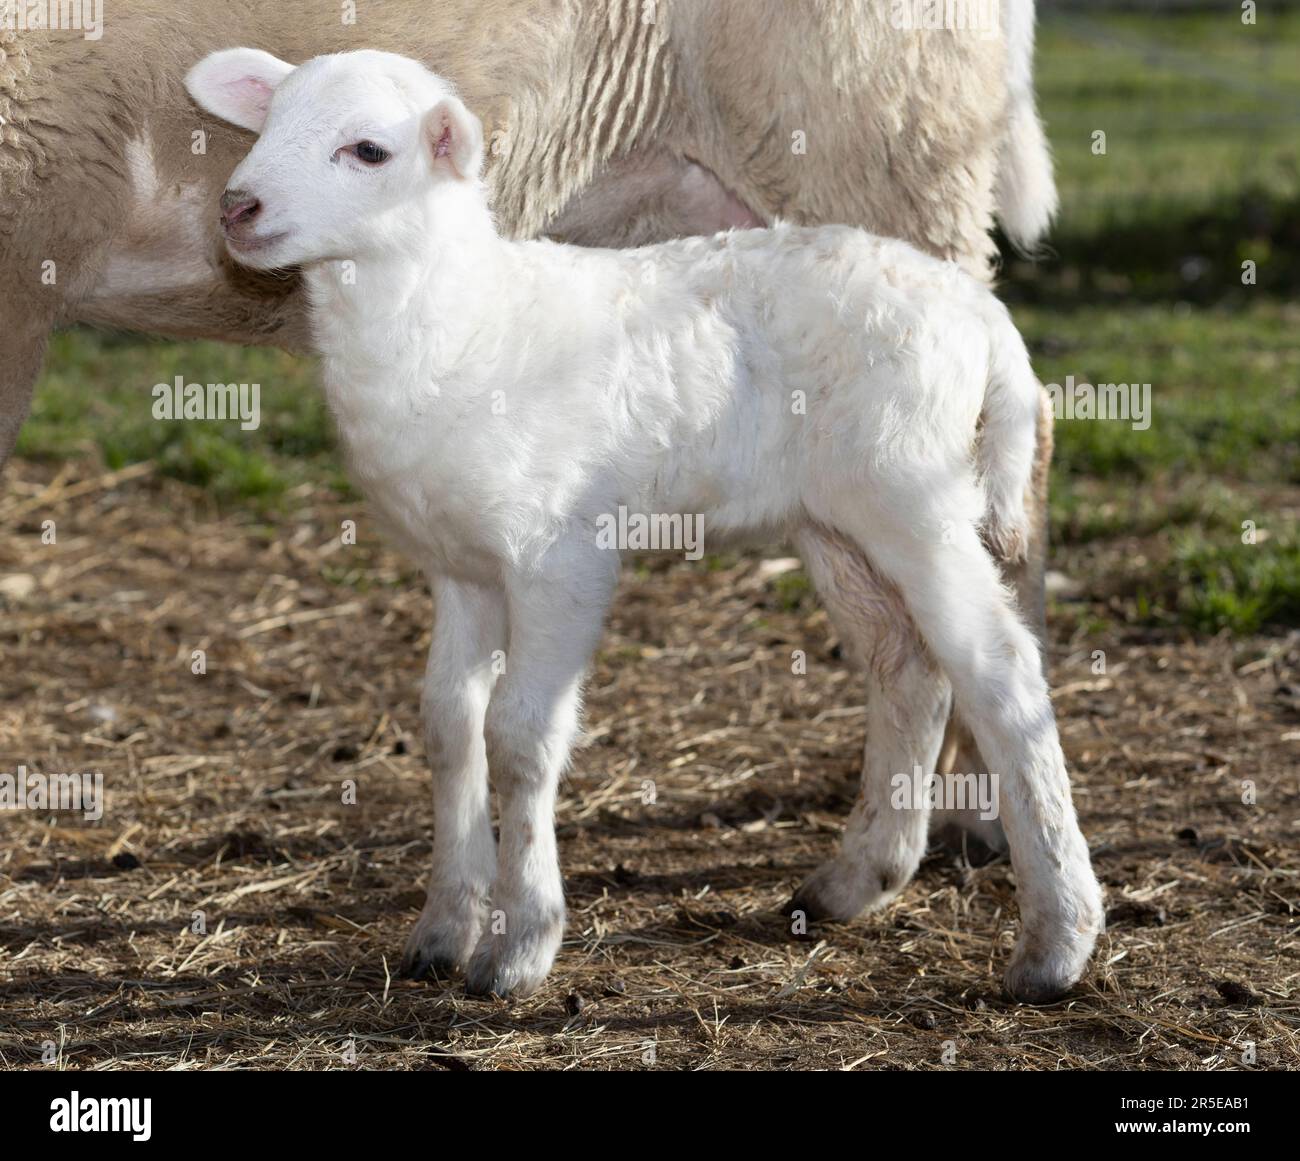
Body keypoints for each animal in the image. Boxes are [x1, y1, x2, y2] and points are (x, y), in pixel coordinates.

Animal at [184, 46, 1103, 1003]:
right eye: (268, 121)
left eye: (368, 150)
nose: (236, 207)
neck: (461, 319)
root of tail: (985, 319)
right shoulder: (461, 567)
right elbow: (447, 726)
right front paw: (442, 929)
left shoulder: (560, 557)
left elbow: (519, 736)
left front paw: (520, 944)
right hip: (839, 516)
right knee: (907, 666)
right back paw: (856, 880)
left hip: (917, 494)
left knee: (1000, 669)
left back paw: (1057, 938)